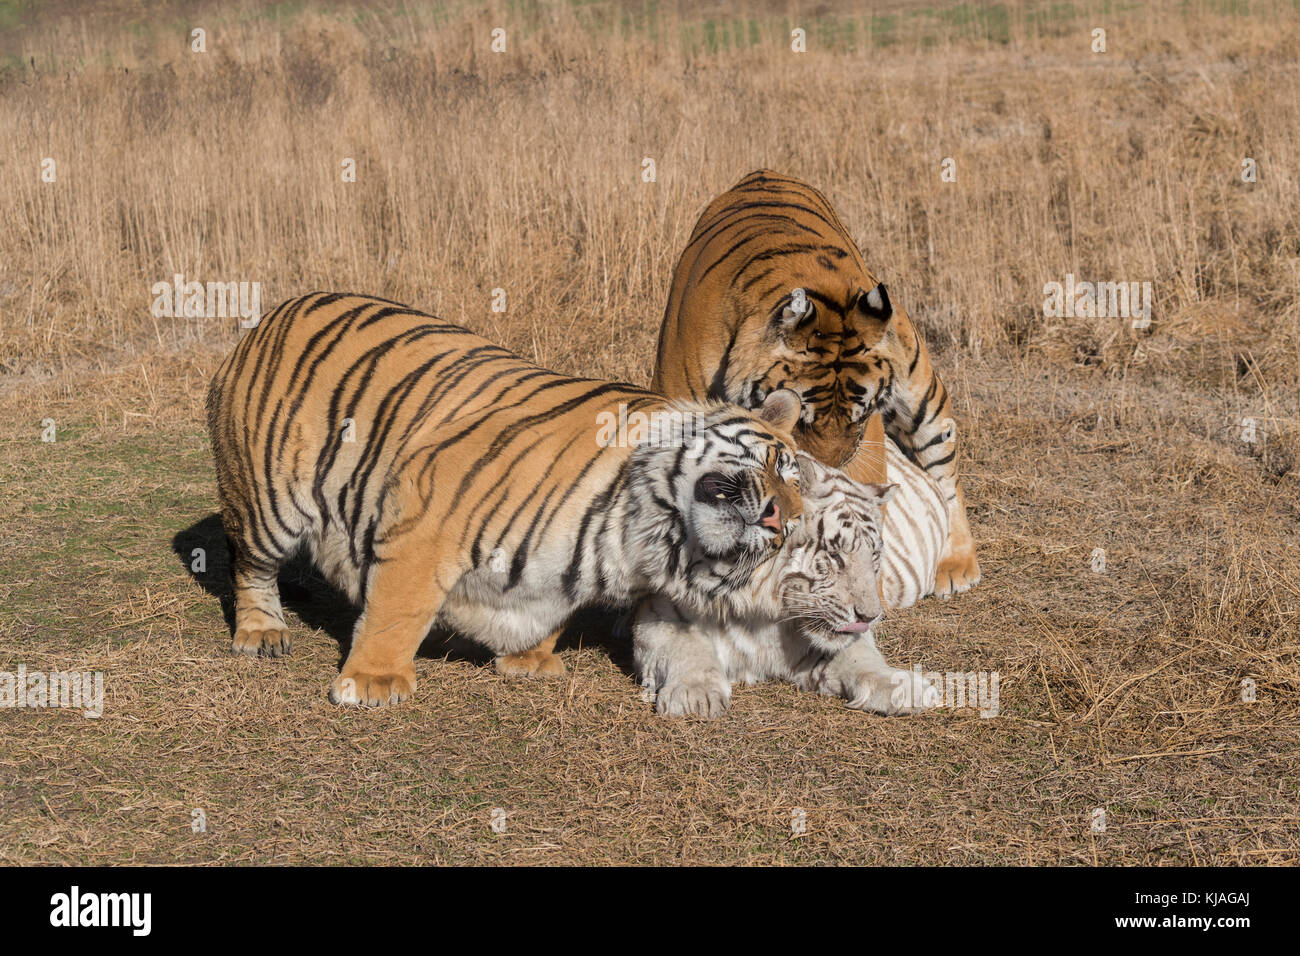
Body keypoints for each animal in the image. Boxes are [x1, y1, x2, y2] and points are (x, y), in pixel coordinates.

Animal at [205, 292, 807, 708]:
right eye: (775, 466)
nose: (785, 521)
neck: (638, 546)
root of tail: (269, 317)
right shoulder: (425, 513)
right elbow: (399, 608)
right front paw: (372, 682)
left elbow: (544, 612)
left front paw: (528, 660)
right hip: (268, 501)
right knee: (248, 563)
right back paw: (262, 633)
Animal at [634, 452, 939, 717]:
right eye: (835, 556)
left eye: (874, 555)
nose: (870, 617)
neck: (760, 609)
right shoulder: (659, 610)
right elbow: (685, 644)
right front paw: (694, 695)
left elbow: (861, 656)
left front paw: (908, 688)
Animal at [652, 169, 980, 598]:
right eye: (803, 420)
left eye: (859, 418)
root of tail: (765, 172)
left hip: (925, 401)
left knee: (946, 478)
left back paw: (957, 564)